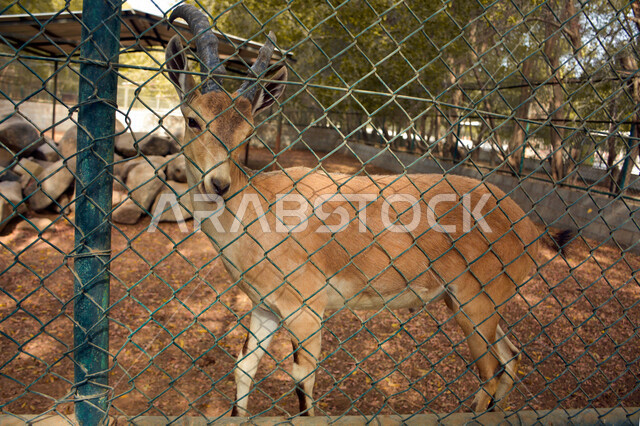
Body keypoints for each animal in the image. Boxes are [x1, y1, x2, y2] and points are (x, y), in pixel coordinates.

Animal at [165, 4, 549, 416]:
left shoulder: (306, 308)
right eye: (193, 120)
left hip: (476, 303)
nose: (219, 184)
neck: (257, 213)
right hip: (476, 303)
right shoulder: (265, 307)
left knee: (491, 370)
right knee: (511, 358)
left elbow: (302, 382)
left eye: (248, 133)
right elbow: (244, 367)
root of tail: (529, 229)